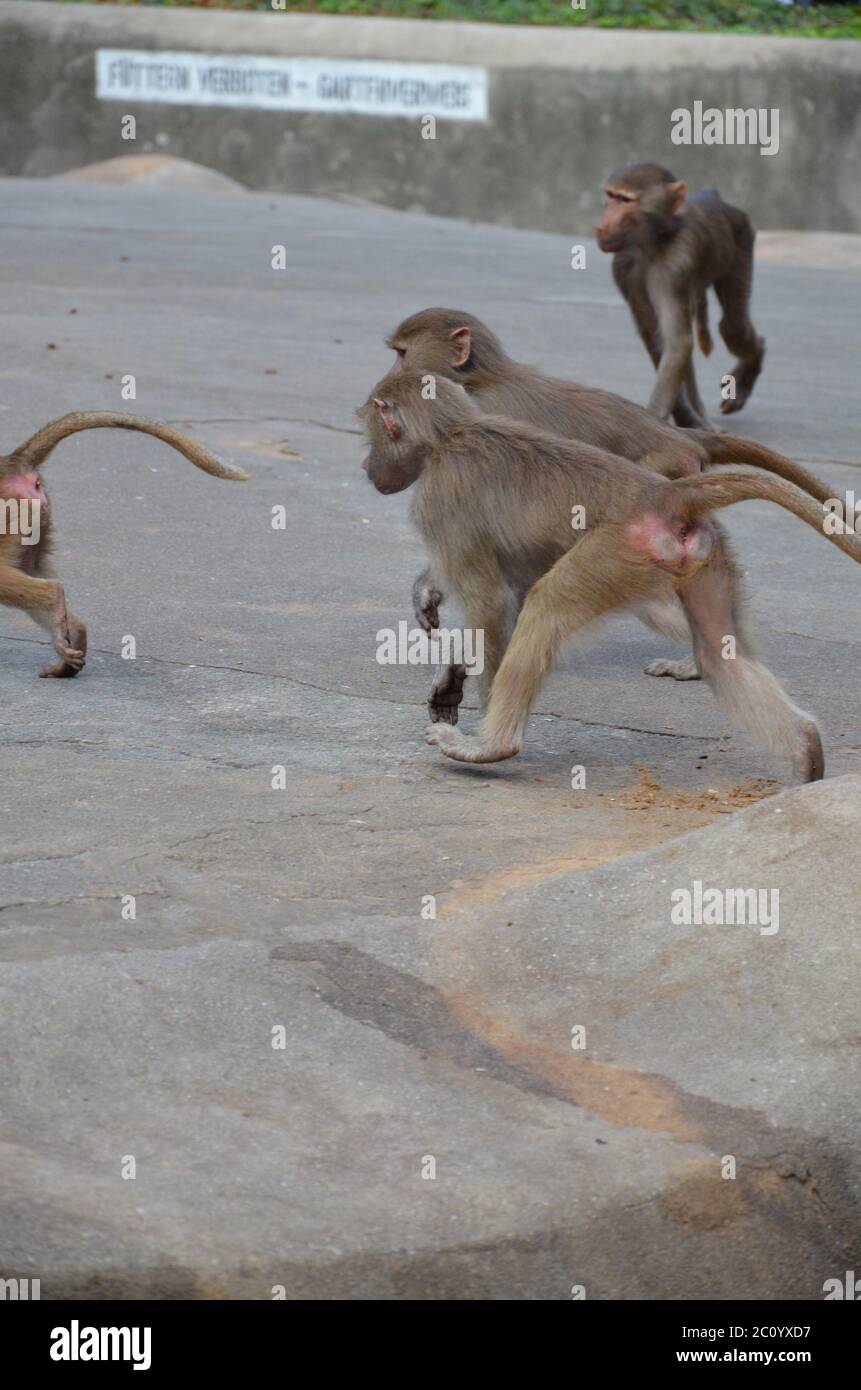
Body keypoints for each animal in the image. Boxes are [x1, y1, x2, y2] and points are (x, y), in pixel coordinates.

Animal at [359, 369, 861, 784]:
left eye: (372, 437)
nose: (367, 468)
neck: (451, 434)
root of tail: (664, 494)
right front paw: (451, 667)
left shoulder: (436, 501)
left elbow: (490, 603)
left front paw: (480, 713)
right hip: (700, 555)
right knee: (721, 654)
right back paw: (804, 747)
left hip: (617, 551)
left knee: (547, 606)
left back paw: (495, 746)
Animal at [595, 163, 765, 429]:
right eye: (611, 196)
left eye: (626, 200)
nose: (601, 226)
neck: (655, 240)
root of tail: (717, 198)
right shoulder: (624, 268)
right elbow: (655, 335)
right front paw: (683, 417)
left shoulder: (674, 266)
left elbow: (677, 342)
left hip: (743, 240)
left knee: (732, 328)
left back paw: (750, 367)